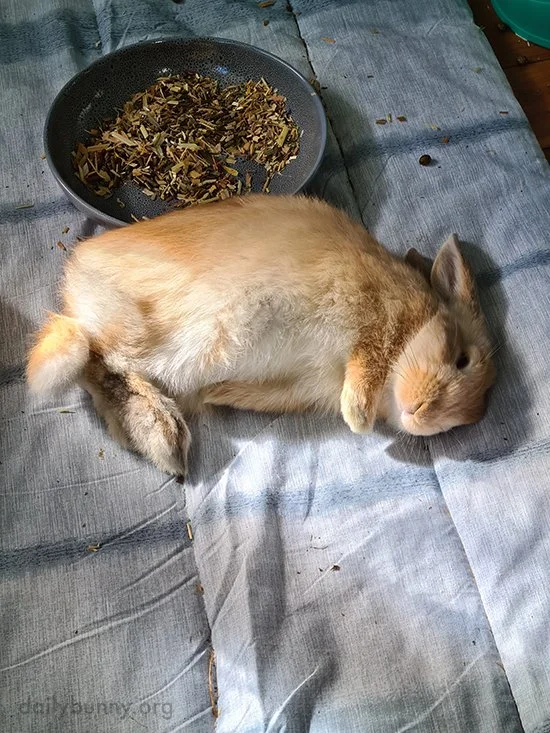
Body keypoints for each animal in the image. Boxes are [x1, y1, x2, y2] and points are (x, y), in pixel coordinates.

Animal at [27, 194, 495, 475]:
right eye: (461, 358)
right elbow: (365, 368)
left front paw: (219, 394)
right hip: (143, 330)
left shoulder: (294, 388)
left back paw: (160, 438)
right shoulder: (371, 321)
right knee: (99, 357)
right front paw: (357, 418)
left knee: (99, 371)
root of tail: (75, 279)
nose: (422, 417)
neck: (413, 327)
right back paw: (164, 431)